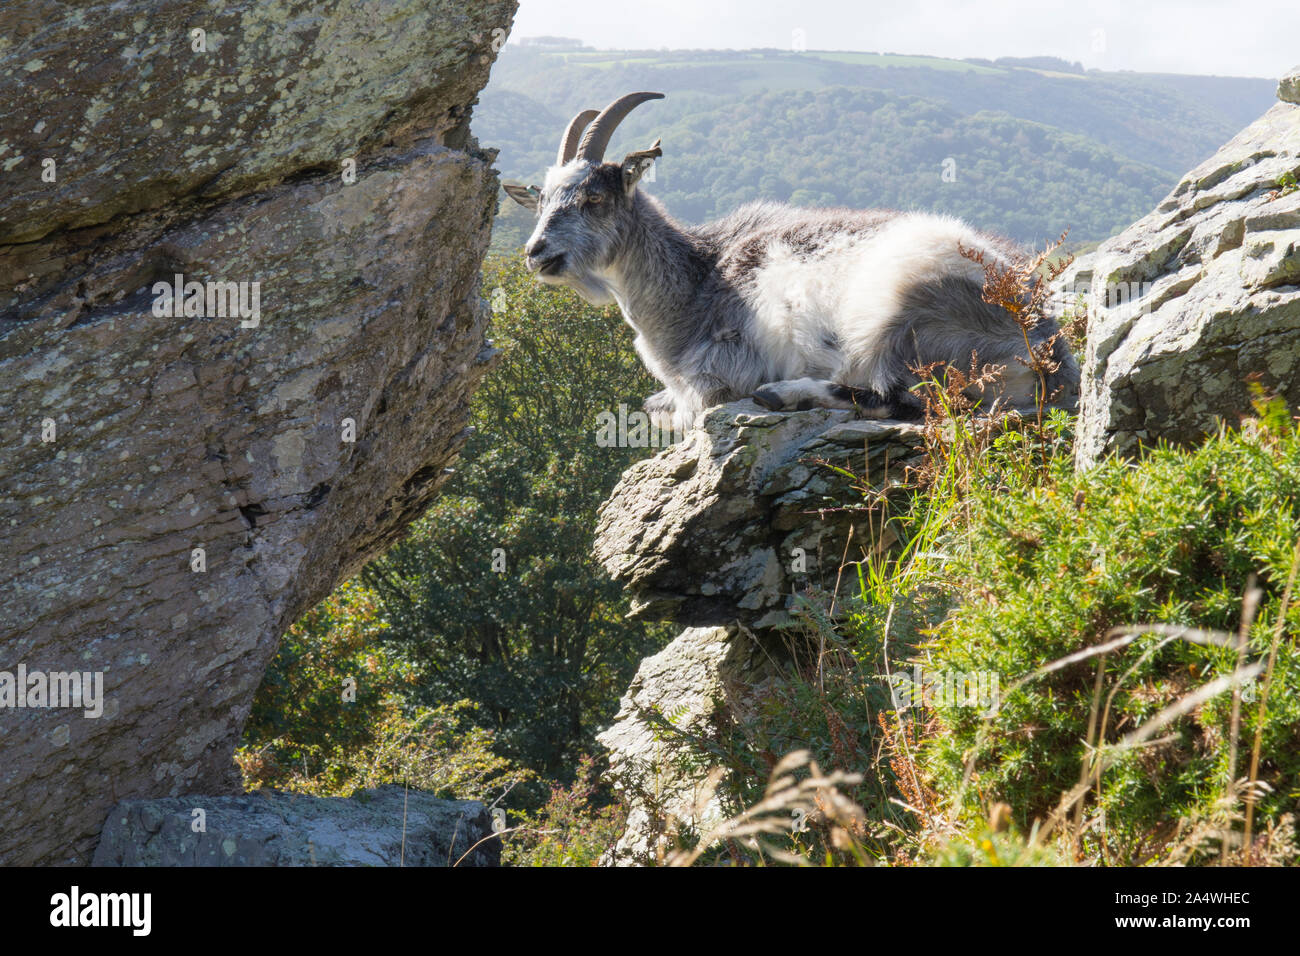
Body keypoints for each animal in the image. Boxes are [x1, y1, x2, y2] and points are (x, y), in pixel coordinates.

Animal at [503, 92, 1079, 435]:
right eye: (542, 200)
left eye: (594, 199)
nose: (537, 253)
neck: (696, 279)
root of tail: (1048, 351)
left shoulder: (719, 370)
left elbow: (675, 409)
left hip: (903, 318)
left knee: (908, 399)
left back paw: (784, 395)